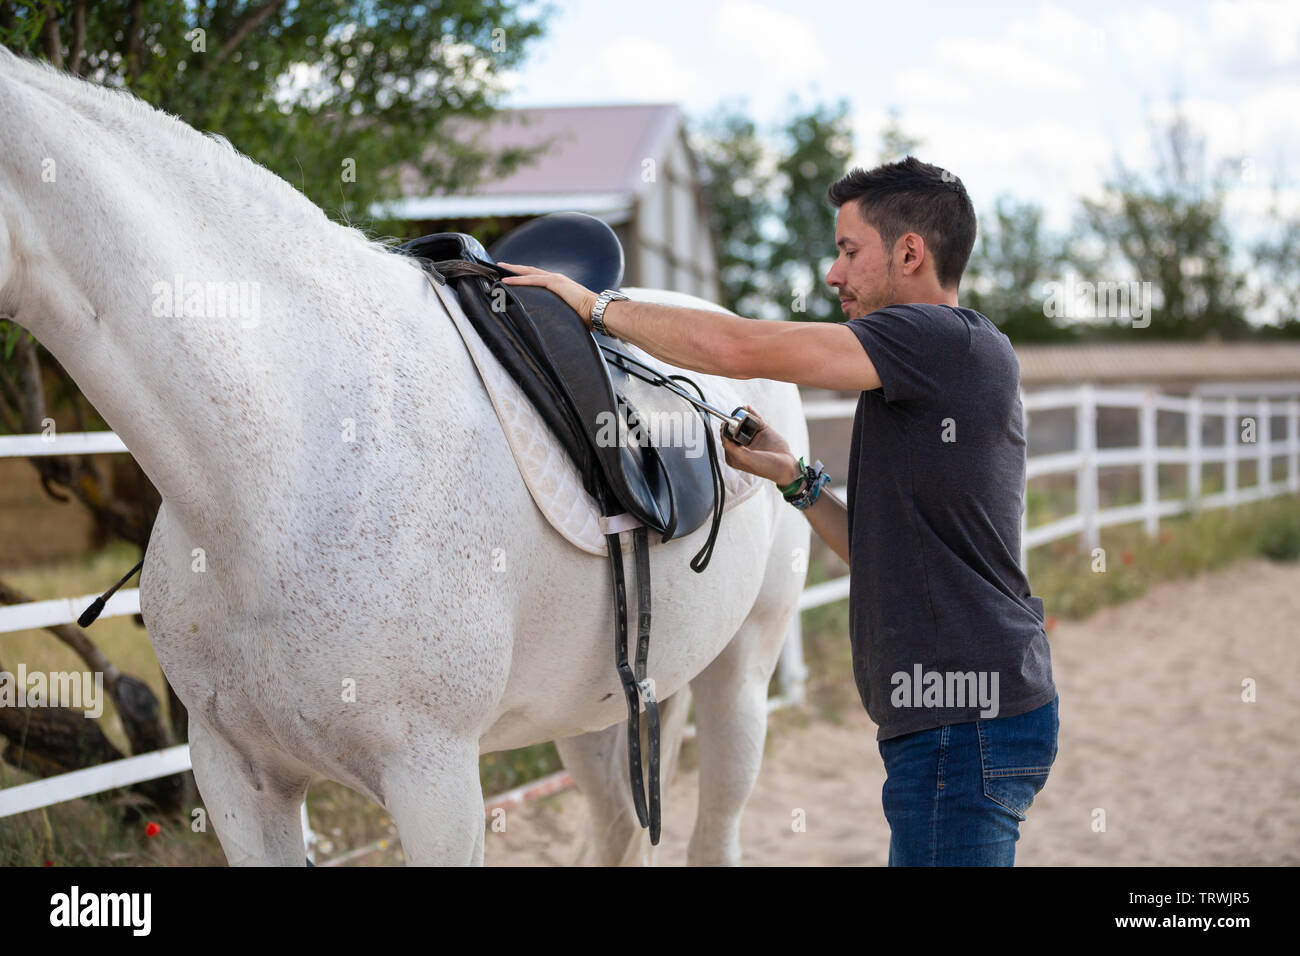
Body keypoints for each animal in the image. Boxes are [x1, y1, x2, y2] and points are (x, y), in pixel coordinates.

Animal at [0, 46, 809, 865]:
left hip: (740, 673)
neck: (283, 472)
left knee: (715, 829)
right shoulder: (236, 777)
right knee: (618, 822)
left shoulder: (435, 782)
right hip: (595, 704)